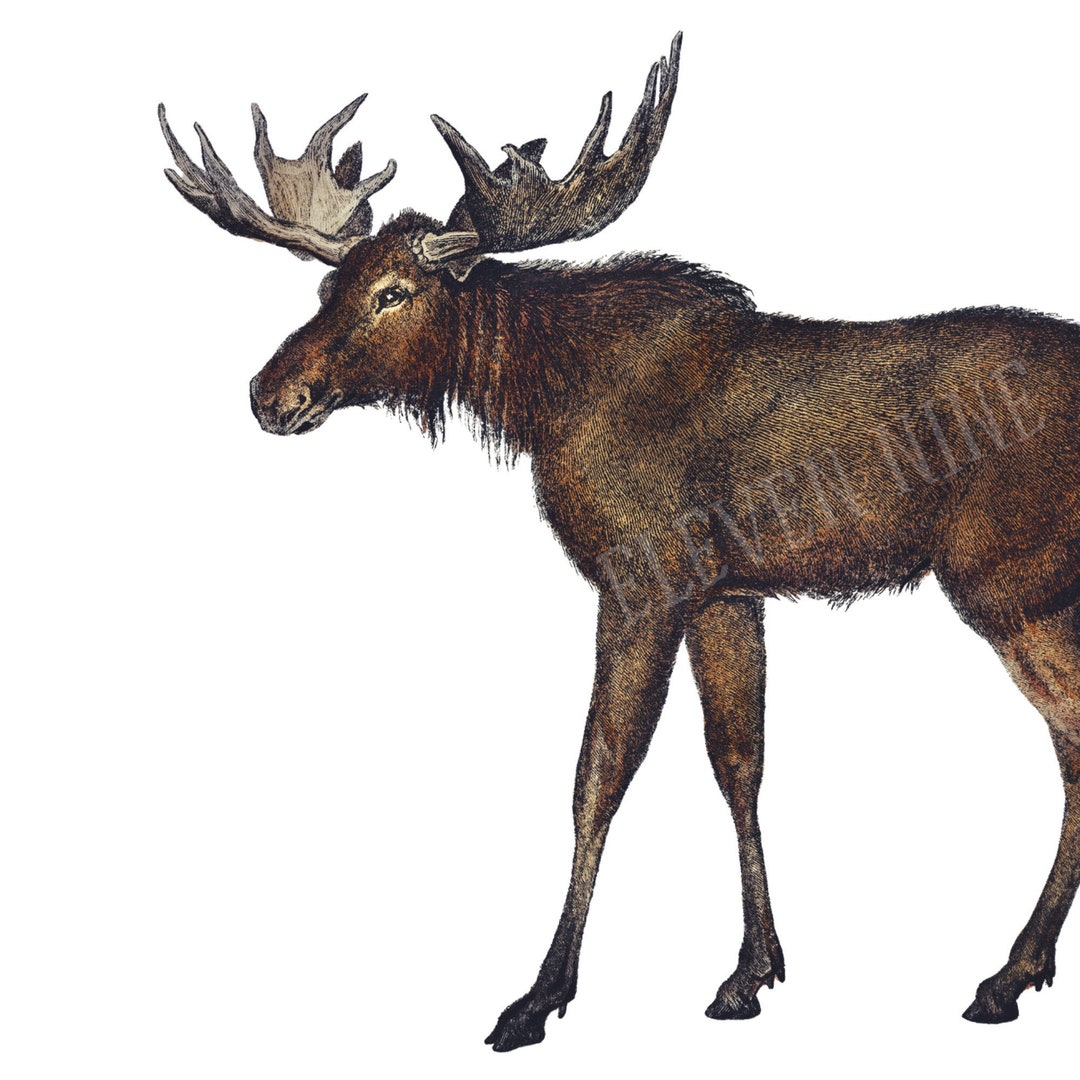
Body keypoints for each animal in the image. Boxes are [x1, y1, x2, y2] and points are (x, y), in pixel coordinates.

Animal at [160, 33, 1080, 1051]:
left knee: (1072, 737)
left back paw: (1009, 973)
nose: (268, 392)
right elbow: (740, 763)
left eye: (394, 293)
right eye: (331, 284)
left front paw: (539, 994)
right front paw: (750, 971)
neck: (547, 401)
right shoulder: (728, 592)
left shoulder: (644, 579)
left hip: (1010, 582)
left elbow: (597, 772)